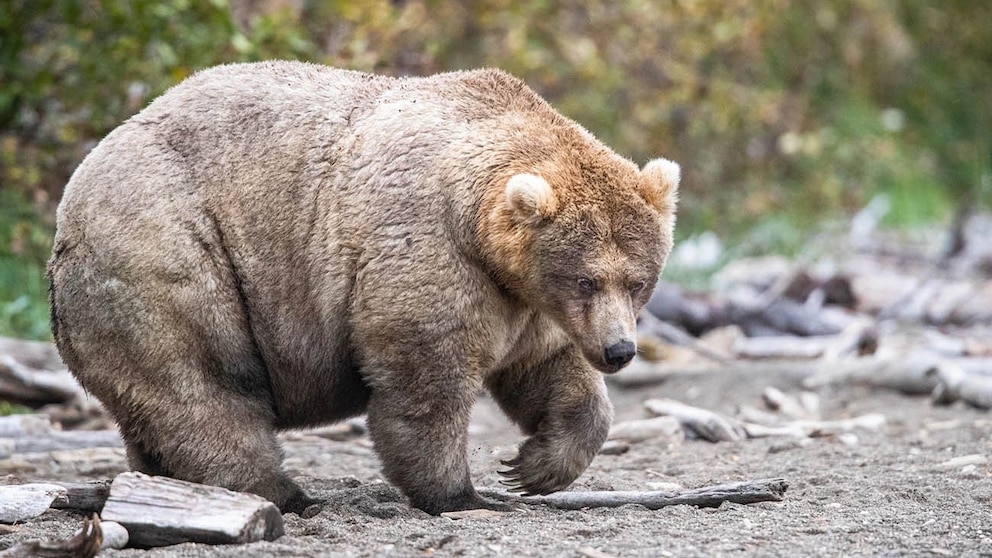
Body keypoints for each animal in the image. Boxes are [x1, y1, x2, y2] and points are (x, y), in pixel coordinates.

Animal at [47, 61, 680, 515]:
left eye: (638, 281)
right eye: (587, 278)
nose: (620, 351)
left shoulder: (526, 302)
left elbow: (549, 370)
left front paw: (533, 467)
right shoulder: (429, 250)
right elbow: (426, 376)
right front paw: (462, 494)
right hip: (169, 251)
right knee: (203, 382)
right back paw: (282, 493)